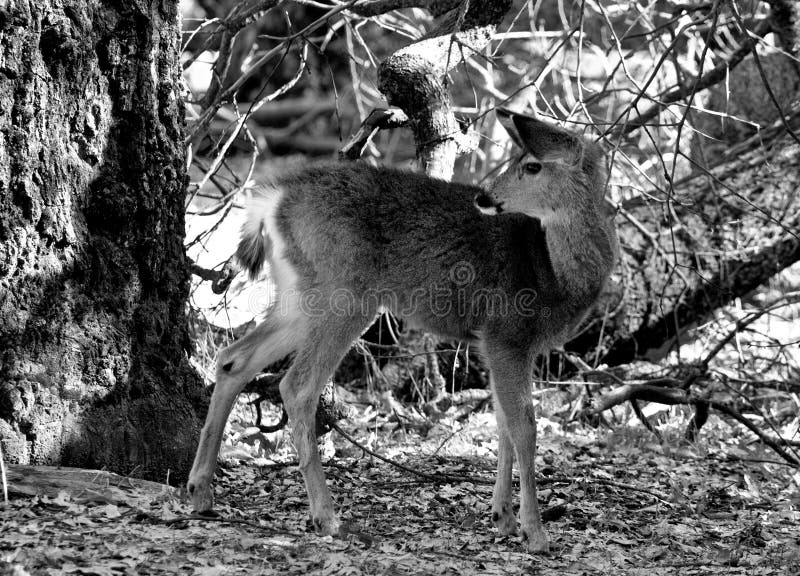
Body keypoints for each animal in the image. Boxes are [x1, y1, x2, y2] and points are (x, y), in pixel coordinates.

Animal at [187, 108, 618, 554]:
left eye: (531, 165)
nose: (483, 196)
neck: (553, 273)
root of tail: (272, 201)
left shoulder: (497, 344)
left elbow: (502, 424)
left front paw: (503, 518)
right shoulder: (507, 334)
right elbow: (525, 428)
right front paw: (535, 532)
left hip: (299, 294)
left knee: (233, 359)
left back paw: (200, 492)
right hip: (344, 290)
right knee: (297, 386)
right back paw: (327, 517)